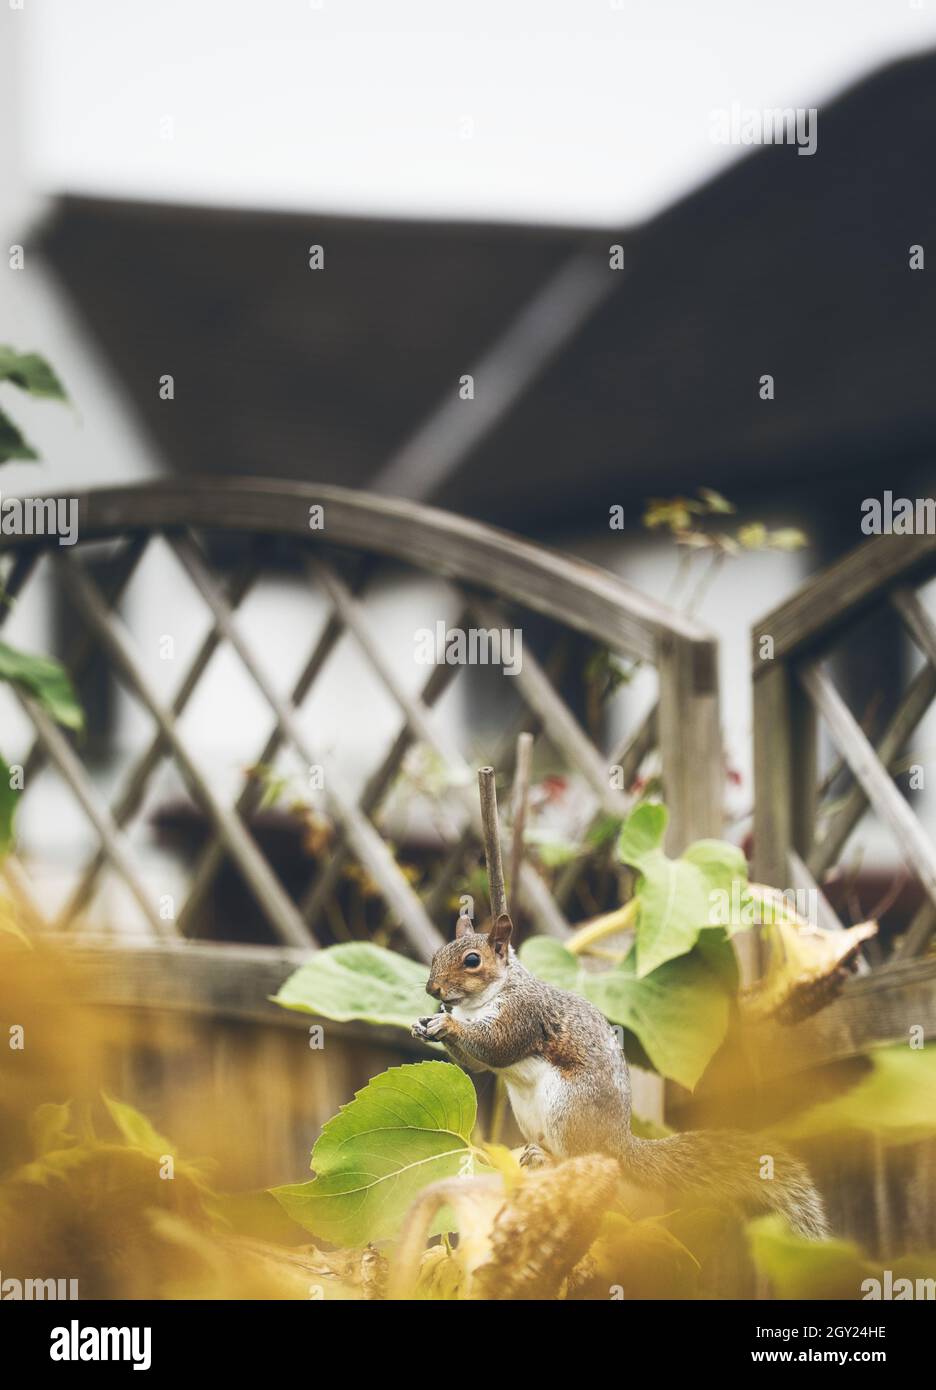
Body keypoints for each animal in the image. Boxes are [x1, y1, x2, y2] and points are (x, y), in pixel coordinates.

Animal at [411, 911, 829, 1240]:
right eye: (435, 955)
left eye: (472, 960)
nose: (433, 988)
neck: (483, 1000)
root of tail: (616, 1142)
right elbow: (479, 1065)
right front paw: (425, 1024)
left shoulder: (524, 1015)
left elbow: (496, 1046)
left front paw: (447, 1024)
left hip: (568, 1110)